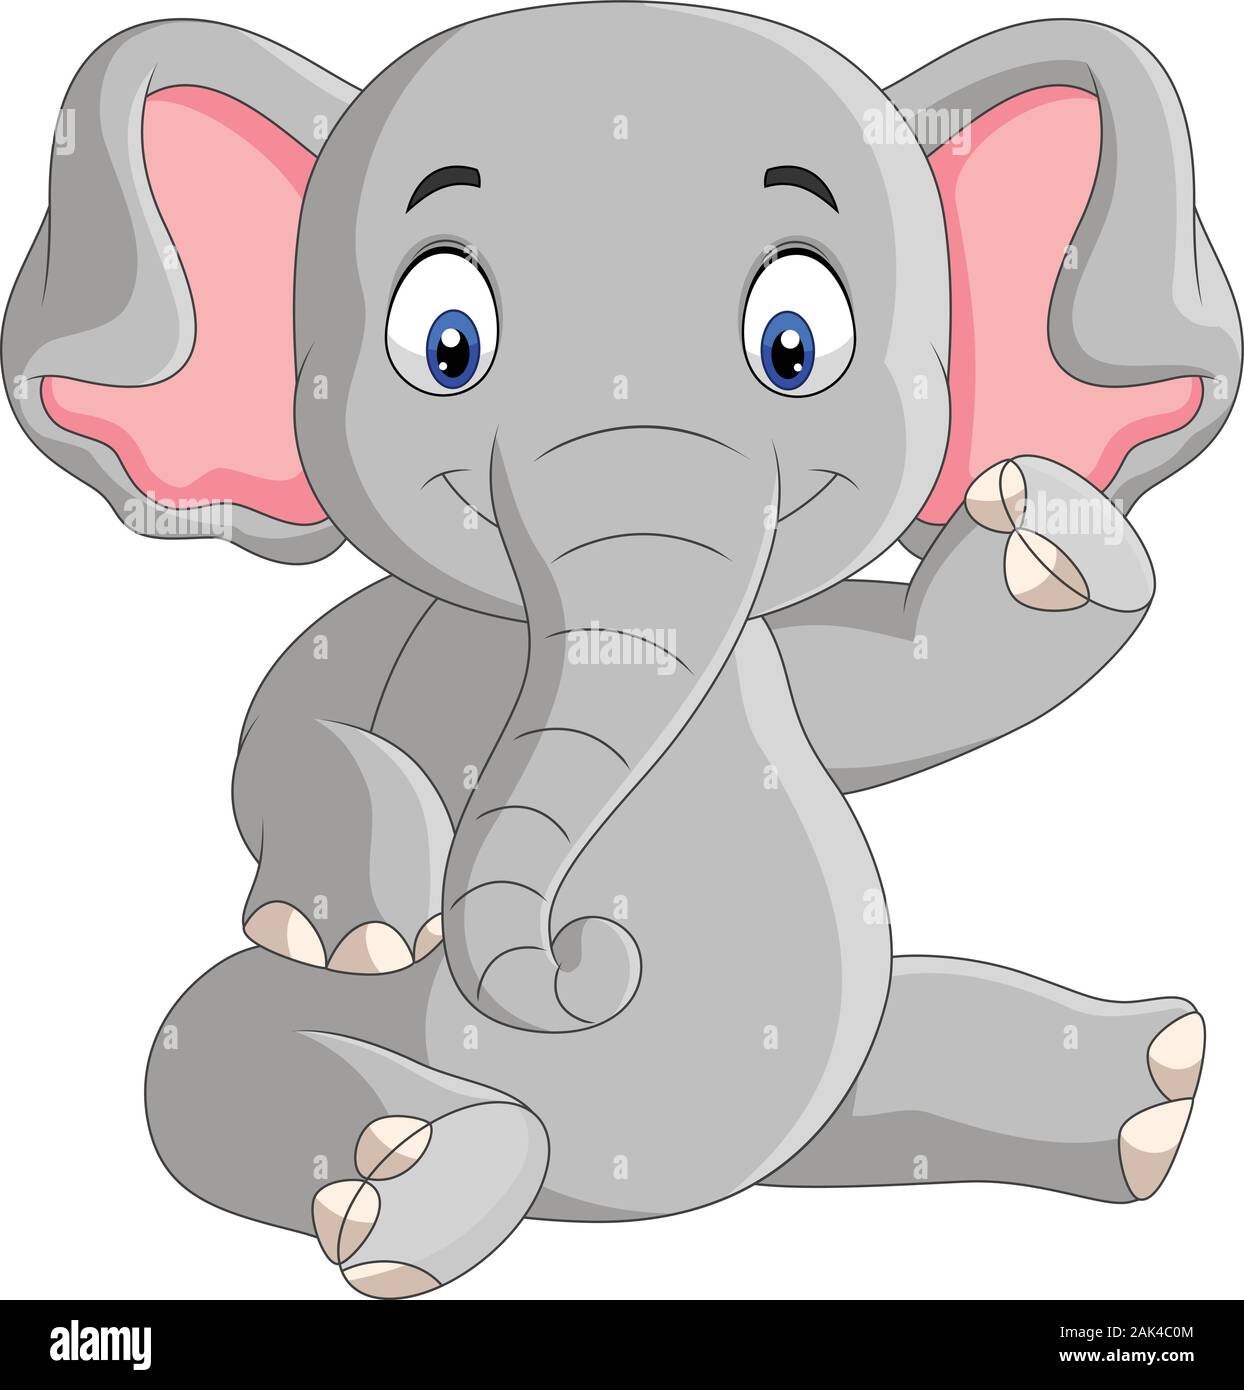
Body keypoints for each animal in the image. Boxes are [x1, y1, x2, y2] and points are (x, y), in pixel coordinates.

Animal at [4, 4, 1236, 1298]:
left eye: (793, 343)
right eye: (446, 343)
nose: (586, 949)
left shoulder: (776, 661)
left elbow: (919, 678)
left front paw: (1044, 518)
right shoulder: (381, 629)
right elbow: (277, 736)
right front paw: (357, 930)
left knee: (916, 1034)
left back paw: (1153, 1089)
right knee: (209, 1051)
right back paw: (422, 1175)